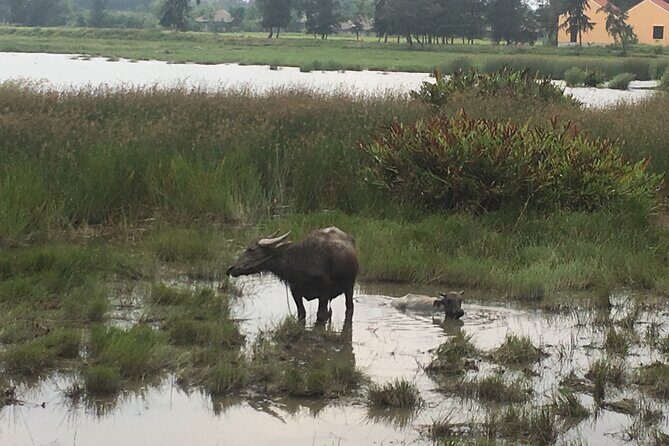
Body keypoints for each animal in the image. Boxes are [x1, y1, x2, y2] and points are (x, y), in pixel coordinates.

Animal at [226, 227, 358, 322]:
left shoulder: (324, 294)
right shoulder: (295, 292)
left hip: (349, 287)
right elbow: (302, 313)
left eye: (251, 250)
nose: (230, 268)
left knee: (349, 307)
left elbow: (321, 315)